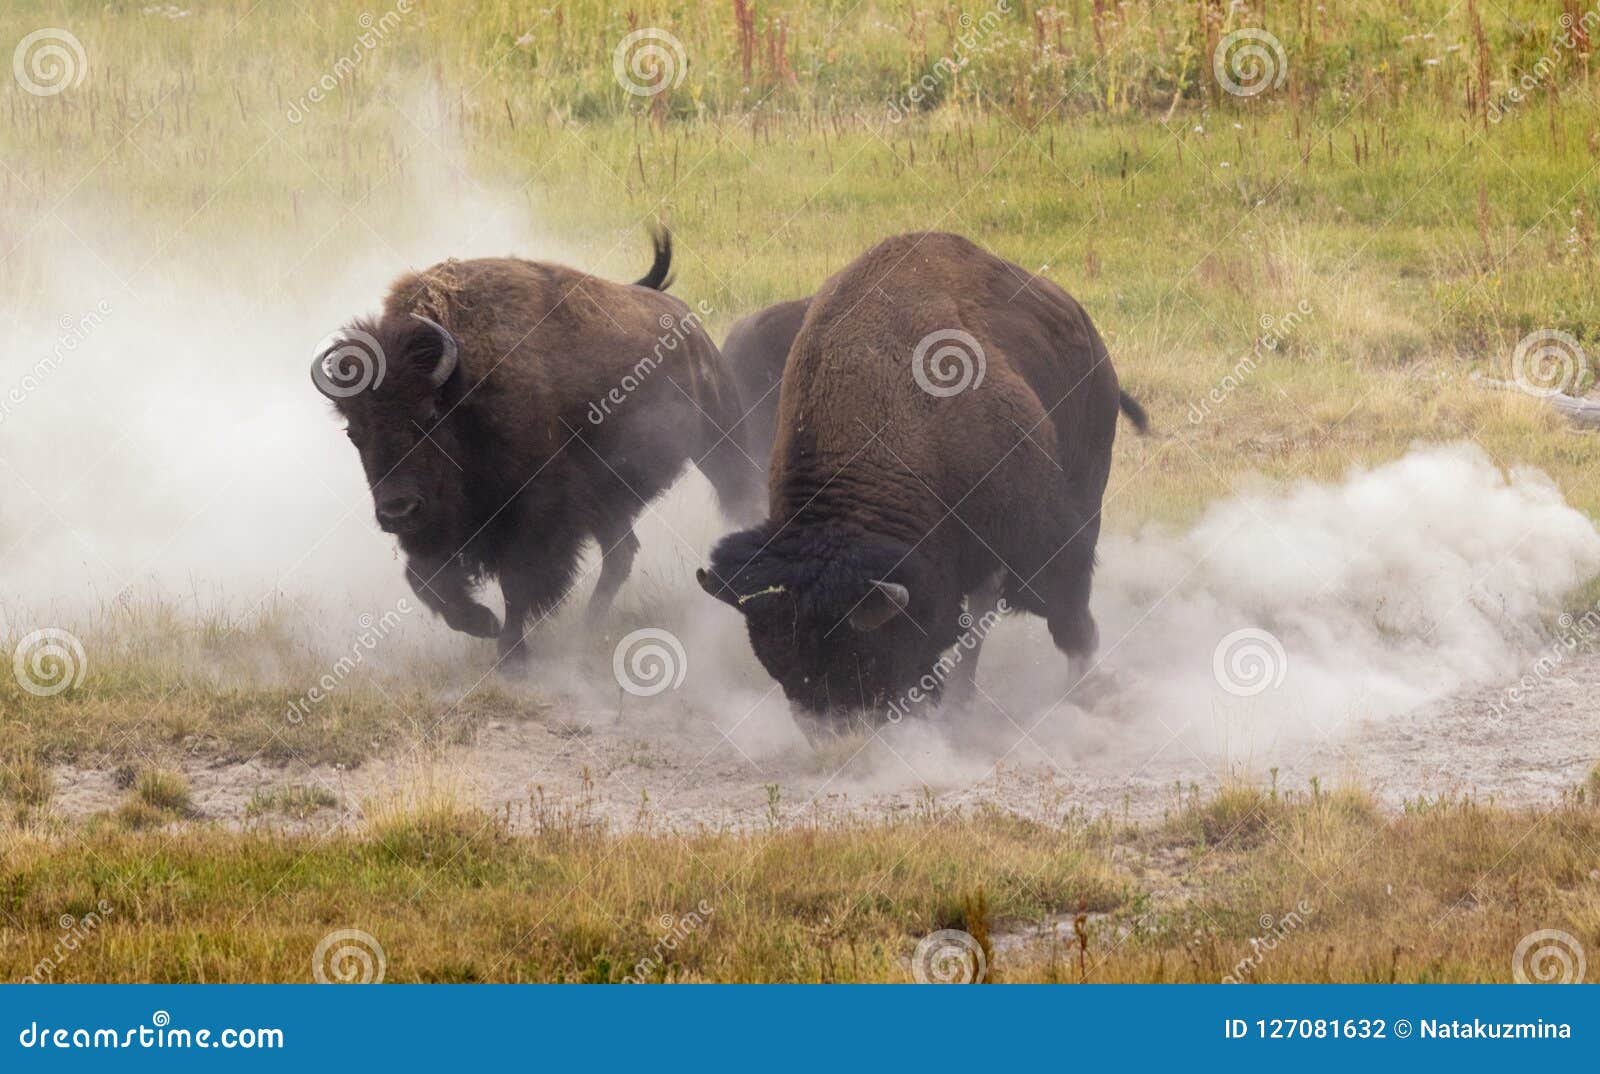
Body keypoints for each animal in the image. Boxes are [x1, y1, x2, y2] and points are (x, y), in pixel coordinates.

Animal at [315, 230, 761, 661]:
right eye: (354, 433)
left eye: (428, 417)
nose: (397, 511)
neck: (465, 391)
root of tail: (688, 323)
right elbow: (425, 579)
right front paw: (482, 623)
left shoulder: (535, 516)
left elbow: (518, 583)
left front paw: (510, 652)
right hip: (610, 498)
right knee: (620, 554)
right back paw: (587, 630)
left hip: (719, 444)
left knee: (740, 500)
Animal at [698, 231, 1146, 724]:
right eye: (775, 664)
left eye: (864, 657)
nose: (832, 729)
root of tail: (1087, 332)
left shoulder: (1038, 534)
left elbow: (1065, 614)